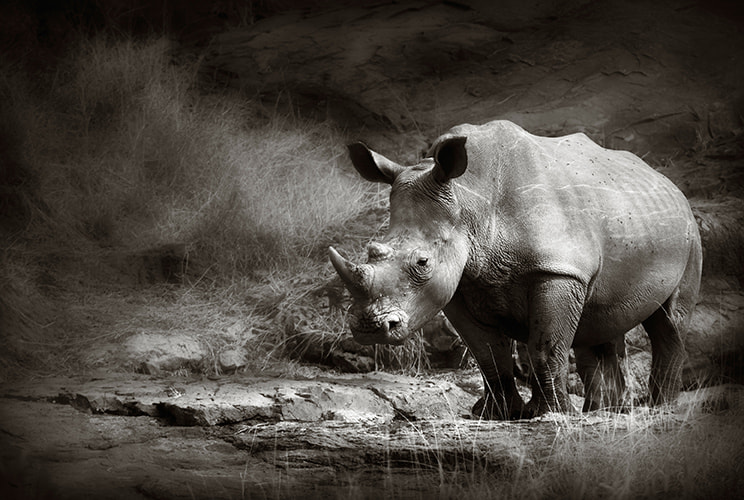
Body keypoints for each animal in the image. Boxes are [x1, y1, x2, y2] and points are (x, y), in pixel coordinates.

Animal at [329, 120, 702, 419]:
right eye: (371, 251)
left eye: (423, 262)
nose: (369, 328)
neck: (470, 202)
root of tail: (668, 182)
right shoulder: (460, 286)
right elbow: (489, 356)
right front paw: (498, 415)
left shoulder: (557, 270)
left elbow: (545, 348)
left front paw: (553, 415)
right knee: (599, 324)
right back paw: (605, 412)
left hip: (689, 232)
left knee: (667, 322)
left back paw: (659, 409)